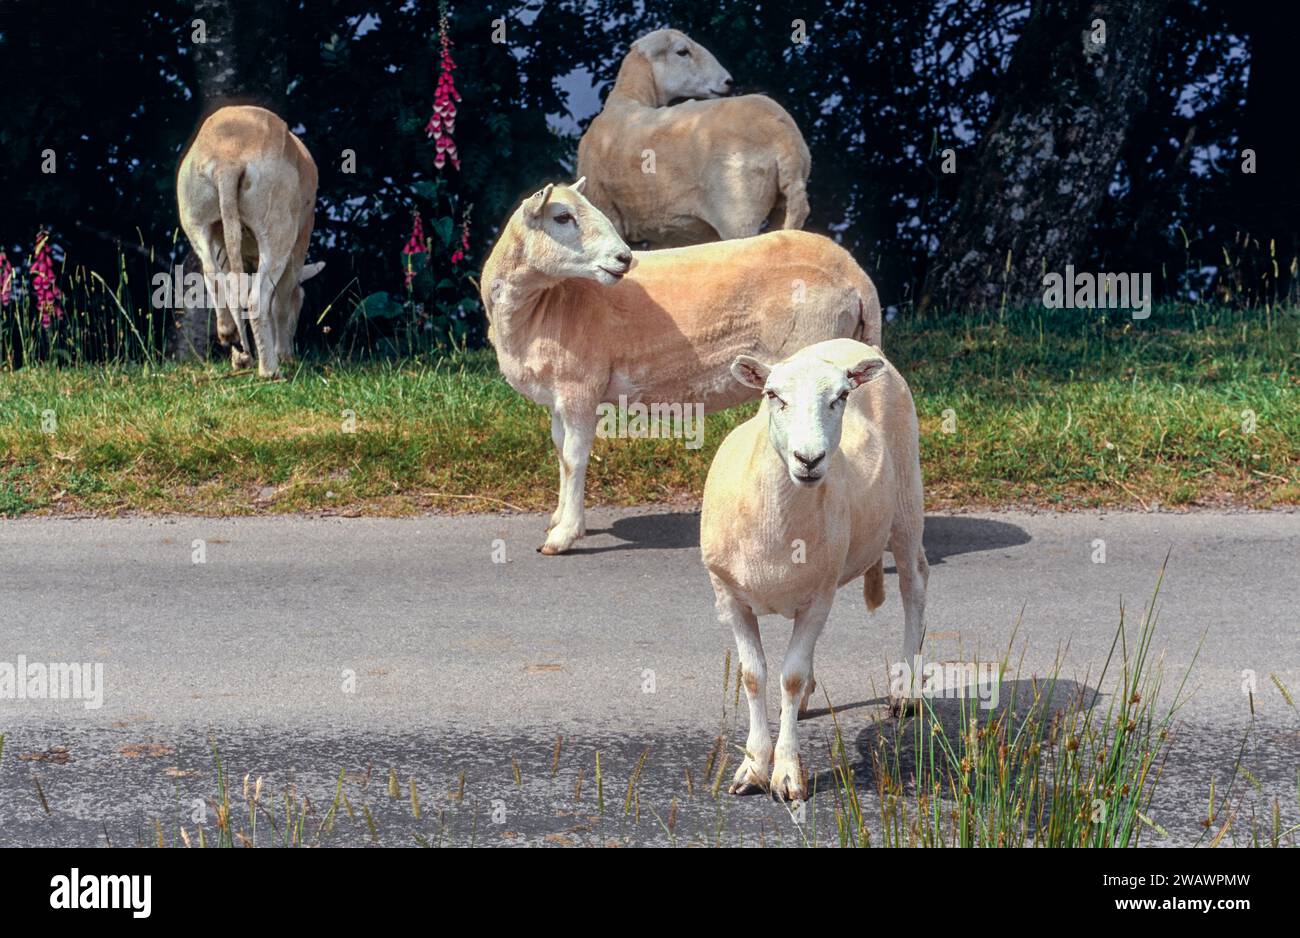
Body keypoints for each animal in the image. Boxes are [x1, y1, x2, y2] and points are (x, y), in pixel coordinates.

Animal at [177, 105, 324, 377]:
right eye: (301, 301)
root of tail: (228, 160)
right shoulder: (300, 244)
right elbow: (280, 301)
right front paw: (285, 356)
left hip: (197, 219)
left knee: (214, 275)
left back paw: (234, 343)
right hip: (277, 227)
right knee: (257, 300)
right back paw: (270, 371)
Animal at [480, 179, 881, 555]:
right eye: (563, 217)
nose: (624, 258)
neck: (546, 304)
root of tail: (856, 275)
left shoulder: (580, 388)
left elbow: (574, 459)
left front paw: (565, 535)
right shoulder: (559, 395)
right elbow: (561, 453)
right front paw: (560, 518)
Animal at [576, 29, 811, 248]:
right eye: (682, 52)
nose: (729, 81)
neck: (628, 100)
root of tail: (784, 138)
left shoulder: (604, 206)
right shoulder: (665, 232)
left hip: (738, 209)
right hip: (782, 207)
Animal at [699, 338, 928, 802]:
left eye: (840, 397)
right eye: (773, 395)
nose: (809, 459)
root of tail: (853, 344)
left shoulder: (818, 597)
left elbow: (789, 675)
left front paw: (786, 774)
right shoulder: (729, 596)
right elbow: (753, 676)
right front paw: (753, 768)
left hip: (907, 497)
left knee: (915, 586)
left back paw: (905, 692)